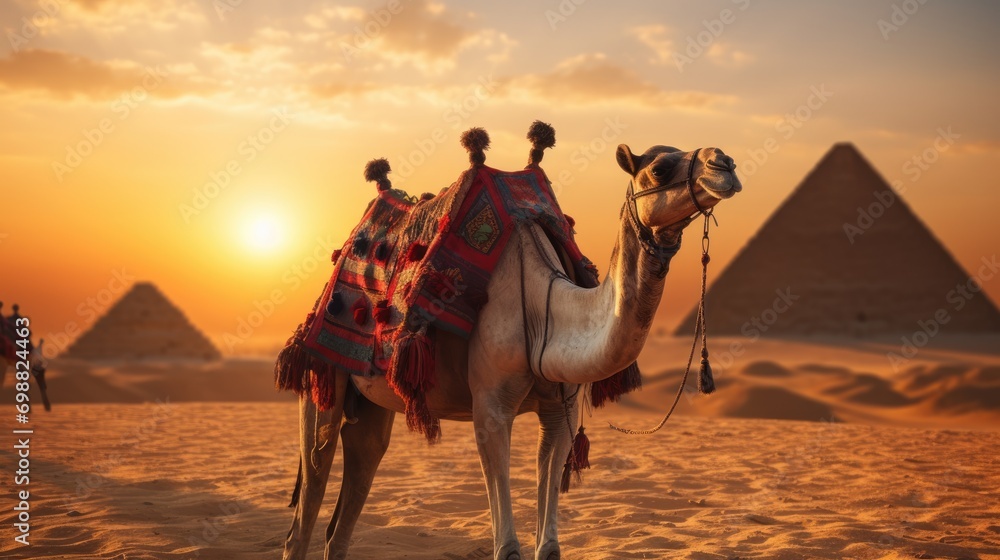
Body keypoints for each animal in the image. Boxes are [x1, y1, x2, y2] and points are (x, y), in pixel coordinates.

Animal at [281, 132, 741, 560]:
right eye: (660, 169)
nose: (725, 163)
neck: (545, 312)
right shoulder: (490, 407)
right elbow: (508, 547)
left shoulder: (562, 409)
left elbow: (550, 546)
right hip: (321, 373)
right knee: (309, 495)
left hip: (372, 405)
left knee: (357, 475)